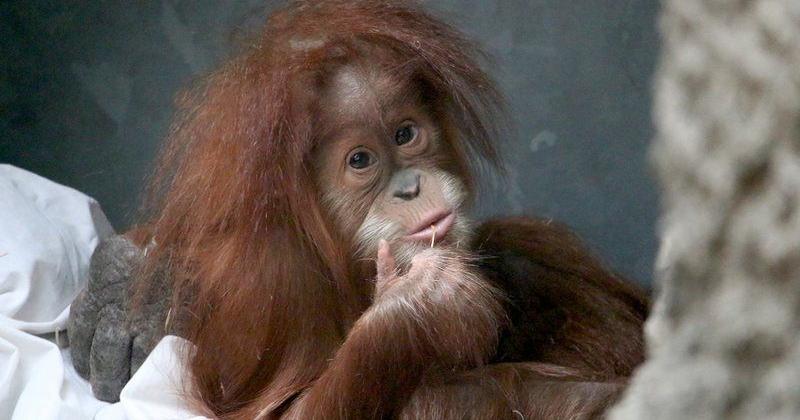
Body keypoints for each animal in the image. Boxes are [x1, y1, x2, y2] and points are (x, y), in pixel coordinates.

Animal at [67, 1, 649, 419]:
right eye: (361, 160)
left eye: (406, 134)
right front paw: (427, 301)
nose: (410, 188)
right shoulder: (271, 284)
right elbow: (287, 412)